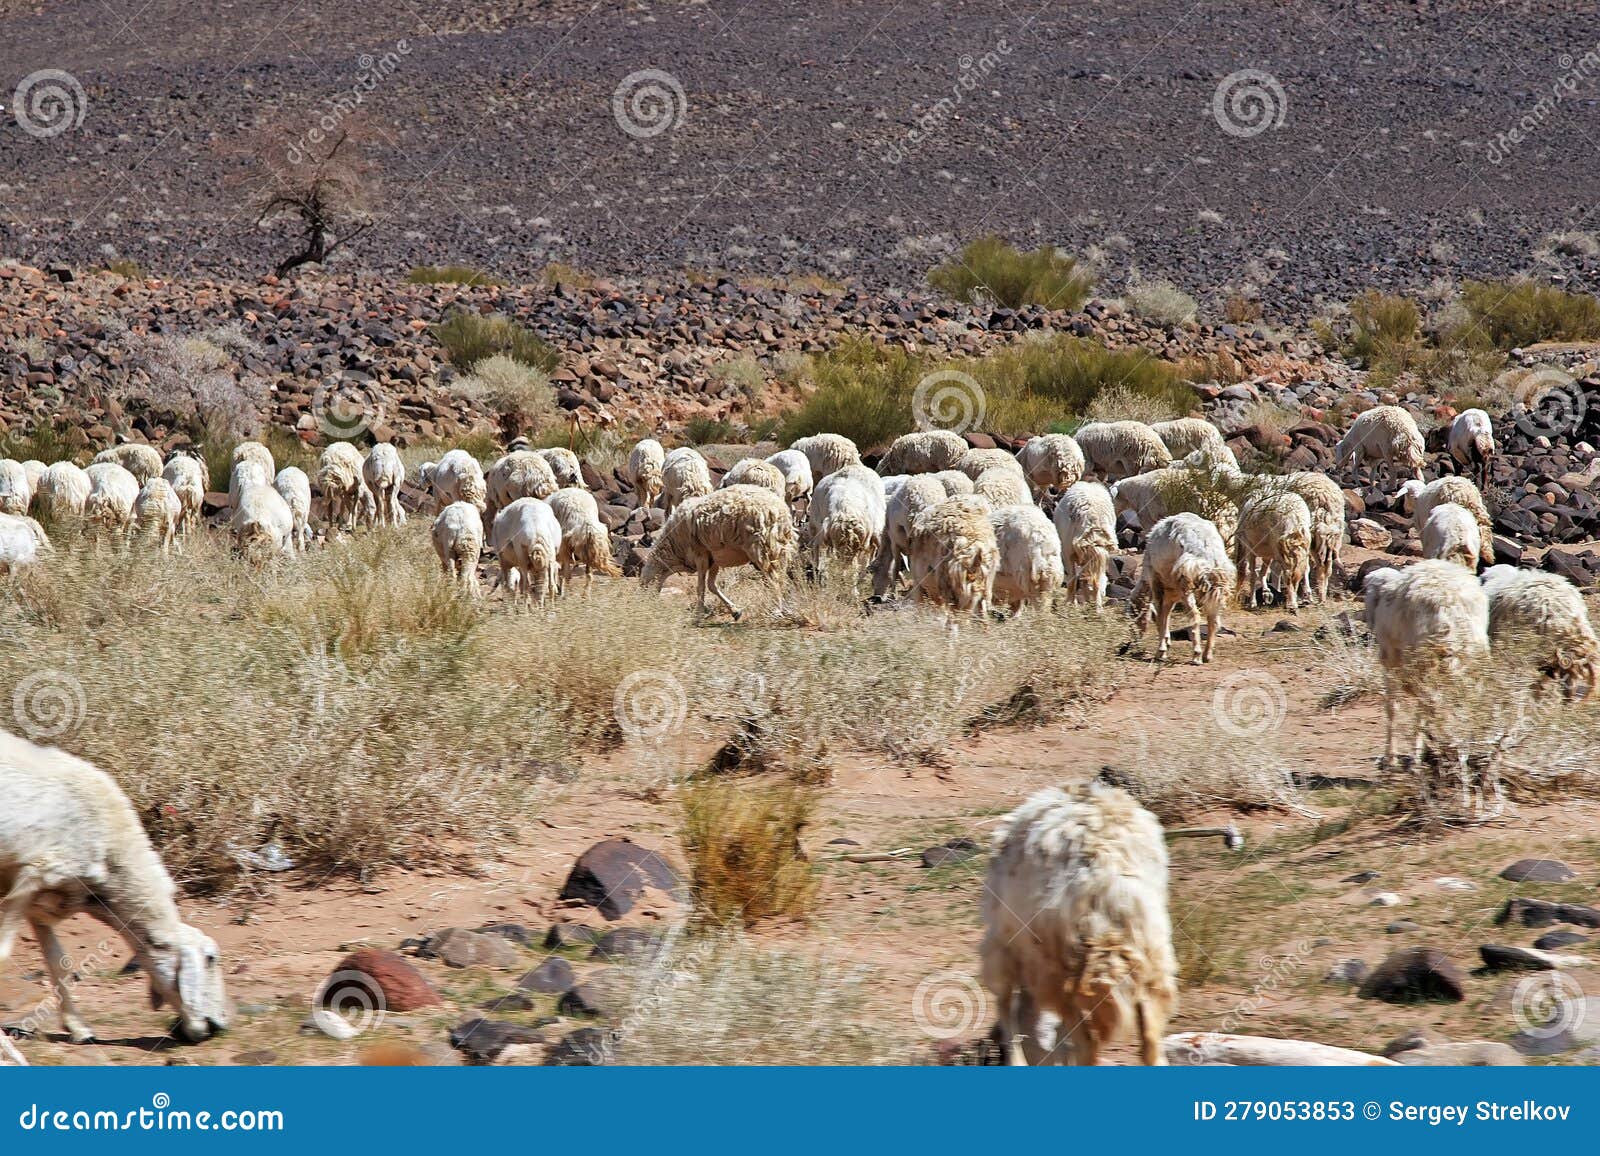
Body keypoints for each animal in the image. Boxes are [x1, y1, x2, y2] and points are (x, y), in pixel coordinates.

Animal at [0, 731, 231, 1044]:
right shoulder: (31, 878)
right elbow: (4, 954)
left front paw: (78, 1028)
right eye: (210, 959)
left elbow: (58, 962)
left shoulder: (44, 897)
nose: (222, 1025)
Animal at [642, 485, 796, 619]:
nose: (648, 604)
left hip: (761, 546)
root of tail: (779, 509)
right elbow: (712, 586)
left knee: (774, 578)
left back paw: (777, 609)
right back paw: (784, 606)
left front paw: (698, 615)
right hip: (780, 547)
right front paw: (735, 611)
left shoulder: (700, 555)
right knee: (781, 576)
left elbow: (701, 587)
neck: (675, 550)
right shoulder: (714, 558)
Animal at [1136, 512, 1236, 664]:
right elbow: (1167, 612)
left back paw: (1196, 655)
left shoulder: (1156, 581)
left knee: (1194, 615)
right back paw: (1207, 655)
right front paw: (1166, 642)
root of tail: (1205, 548)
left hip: (1186, 580)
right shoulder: (1171, 592)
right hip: (1215, 582)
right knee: (1213, 618)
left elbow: (1160, 614)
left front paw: (1162, 650)